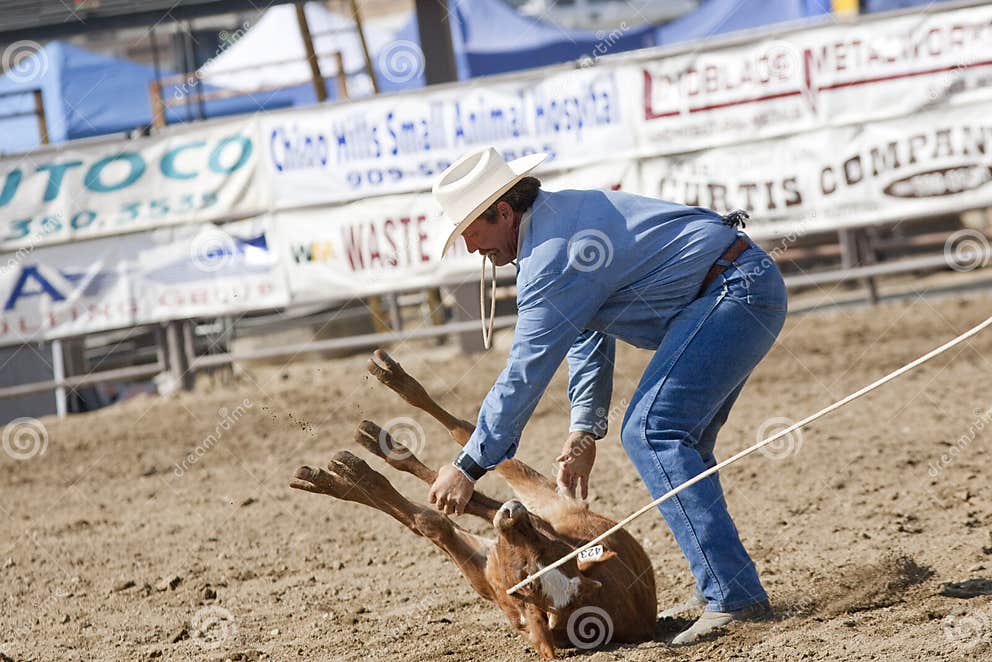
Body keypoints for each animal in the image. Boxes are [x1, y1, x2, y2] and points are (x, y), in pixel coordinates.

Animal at [290, 350, 657, 658]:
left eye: (527, 578)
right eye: (554, 550)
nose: (514, 514)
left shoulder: (479, 565)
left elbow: (428, 522)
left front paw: (347, 479)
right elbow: (442, 508)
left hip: (529, 508)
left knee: (459, 486)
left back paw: (361, 453)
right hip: (535, 499)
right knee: (465, 438)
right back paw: (390, 396)